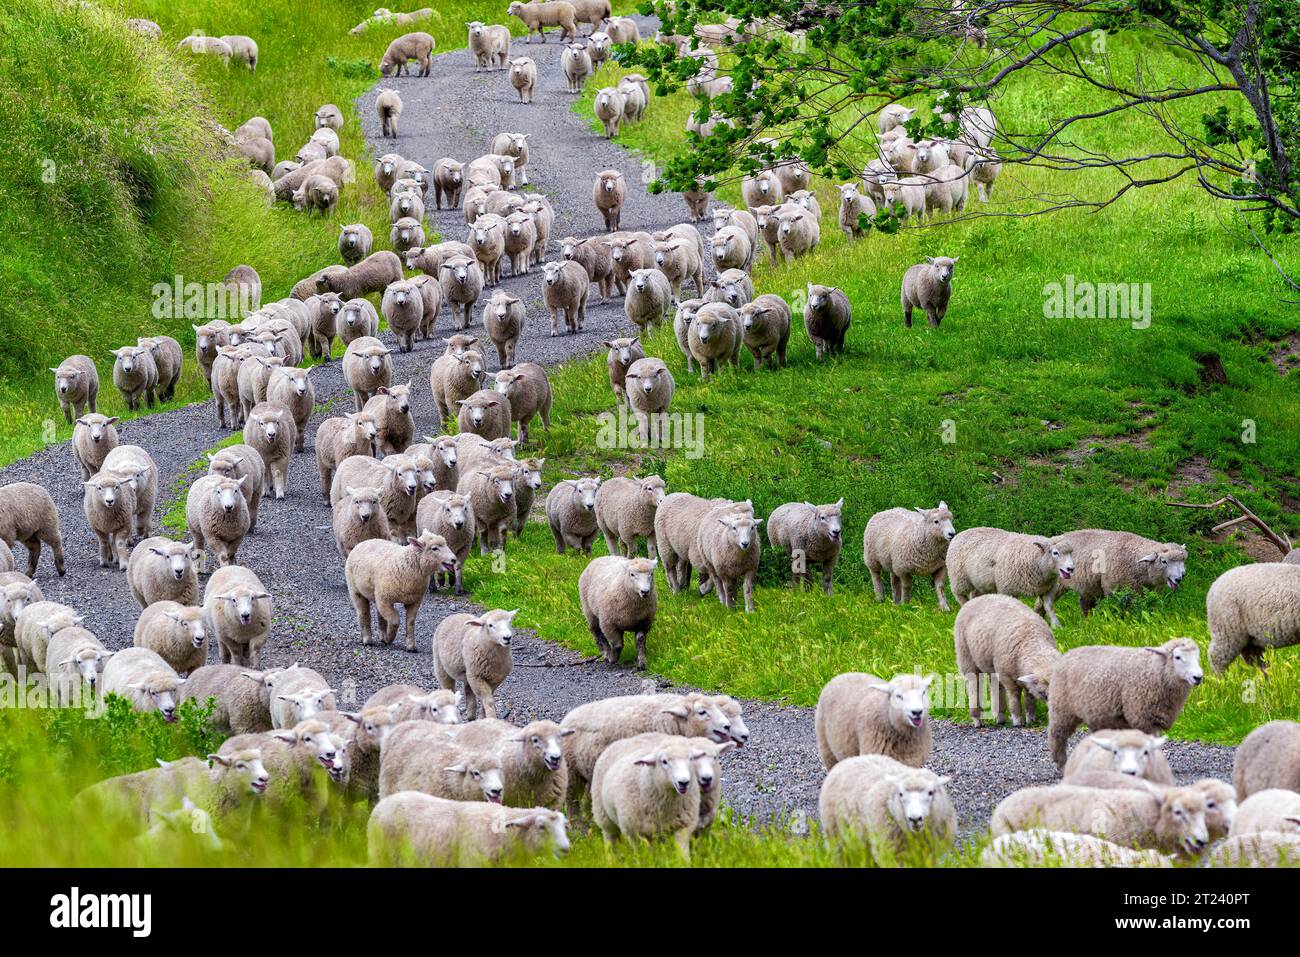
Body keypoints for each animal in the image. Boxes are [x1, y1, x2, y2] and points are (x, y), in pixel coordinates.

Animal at [819, 754, 955, 858]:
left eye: (931, 792)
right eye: (901, 794)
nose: (915, 819)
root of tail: (850, 759)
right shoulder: (890, 852)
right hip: (836, 833)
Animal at [945, 527, 1075, 626]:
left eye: (1071, 553)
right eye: (1055, 553)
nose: (1071, 568)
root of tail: (961, 533)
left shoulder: (1048, 589)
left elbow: (1049, 606)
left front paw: (1056, 625)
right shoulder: (1007, 589)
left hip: (980, 583)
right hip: (959, 579)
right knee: (960, 596)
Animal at [953, 593, 1061, 728]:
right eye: (1044, 694)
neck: (1032, 641)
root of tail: (978, 598)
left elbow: (1029, 698)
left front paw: (1031, 719)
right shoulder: (1007, 677)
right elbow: (1014, 697)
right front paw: (1018, 720)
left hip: (991, 664)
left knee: (995, 685)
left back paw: (999, 717)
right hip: (965, 655)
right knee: (973, 684)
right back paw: (977, 720)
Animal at [1047, 637, 1204, 768]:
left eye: (1197, 656)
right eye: (1177, 657)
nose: (1198, 677)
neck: (1154, 671)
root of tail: (1069, 653)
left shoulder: (1154, 719)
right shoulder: (1142, 718)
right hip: (1061, 709)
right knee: (1057, 735)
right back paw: (1061, 764)